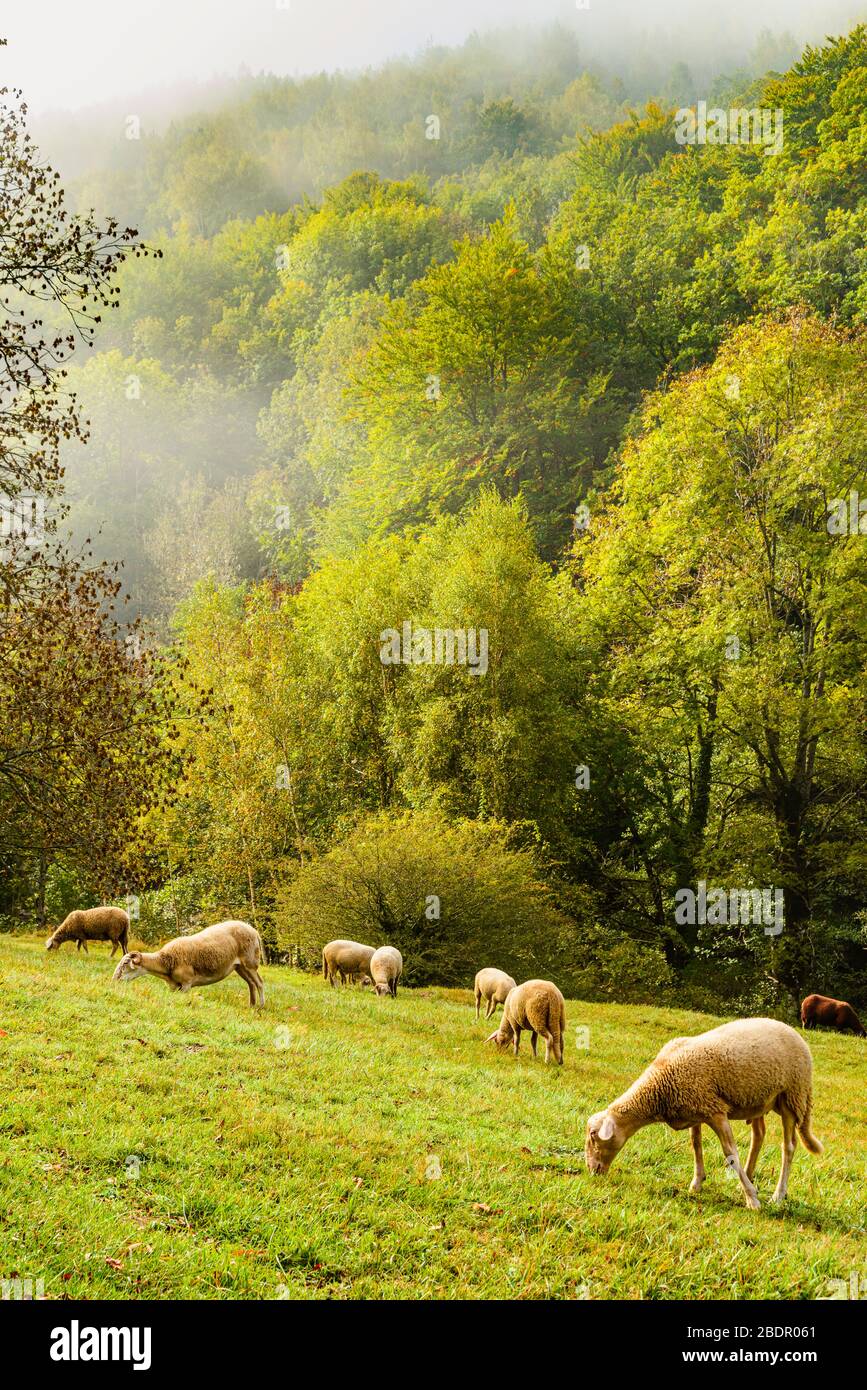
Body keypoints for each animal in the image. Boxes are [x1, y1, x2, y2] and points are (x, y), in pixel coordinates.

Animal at [112, 920, 265, 1007]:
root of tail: (254, 931)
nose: (114, 980)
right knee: (251, 984)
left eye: (125, 963)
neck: (165, 961)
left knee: (259, 983)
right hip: (240, 967)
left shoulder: (187, 984)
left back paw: (261, 1006)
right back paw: (251, 1005)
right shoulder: (174, 986)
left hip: (250, 963)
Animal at [584, 1018, 823, 1209]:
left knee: (788, 1147)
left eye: (593, 1136)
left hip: (792, 1095)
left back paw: (777, 1195)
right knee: (759, 1135)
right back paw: (749, 1177)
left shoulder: (714, 1110)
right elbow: (696, 1145)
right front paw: (697, 1182)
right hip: (758, 1100)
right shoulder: (695, 1109)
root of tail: (792, 1030)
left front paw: (753, 1201)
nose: (592, 1170)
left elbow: (731, 1153)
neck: (659, 1085)